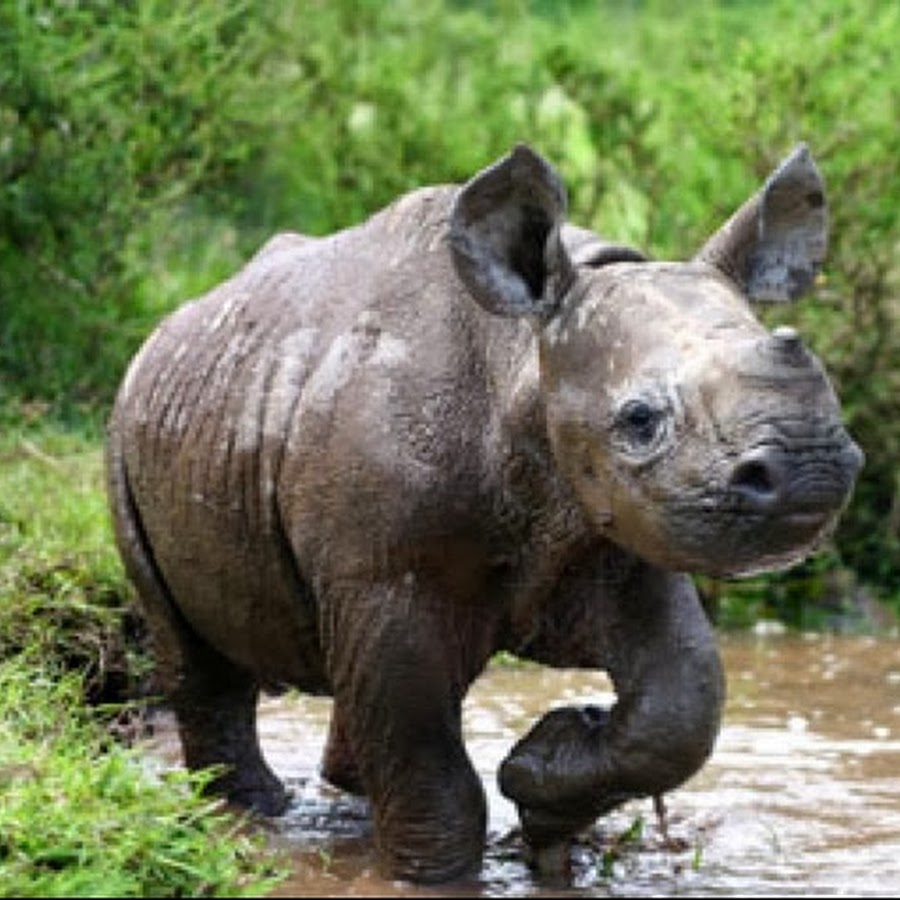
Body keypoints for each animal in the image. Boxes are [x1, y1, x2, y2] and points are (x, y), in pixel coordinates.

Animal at [106, 143, 862, 884]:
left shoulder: (617, 532)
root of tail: (175, 322)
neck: (524, 359)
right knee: (193, 649)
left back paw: (339, 800)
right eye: (639, 420)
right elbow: (424, 755)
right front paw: (433, 874)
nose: (809, 469)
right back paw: (255, 809)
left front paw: (543, 780)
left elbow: (682, 702)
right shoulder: (386, 576)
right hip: (126, 431)